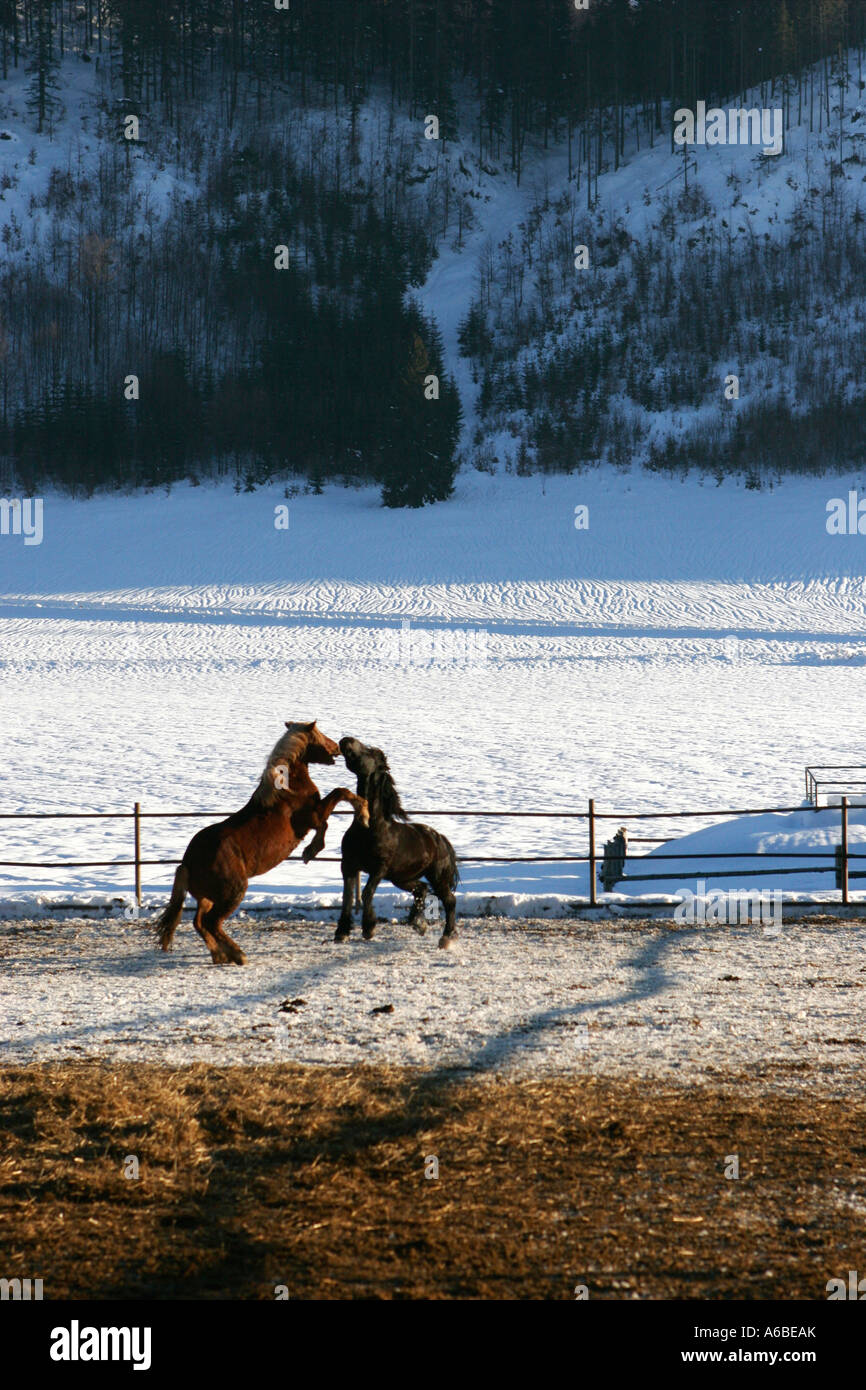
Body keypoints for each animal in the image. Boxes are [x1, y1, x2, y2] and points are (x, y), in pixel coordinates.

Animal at [154, 721, 368, 964]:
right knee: (211, 922)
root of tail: (187, 862)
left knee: (199, 922)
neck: (287, 789)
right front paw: (313, 849)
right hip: (233, 892)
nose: (337, 747)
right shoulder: (313, 816)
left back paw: (220, 955)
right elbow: (337, 798)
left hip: (208, 897)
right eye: (319, 734)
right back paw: (237, 954)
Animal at [334, 736, 459, 949]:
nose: (346, 740)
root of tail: (440, 839)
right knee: (421, 889)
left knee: (449, 900)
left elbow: (366, 893)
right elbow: (347, 897)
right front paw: (342, 932)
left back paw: (446, 937)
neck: (369, 829)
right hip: (400, 877)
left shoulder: (379, 869)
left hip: (436, 878)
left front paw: (369, 928)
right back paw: (418, 924)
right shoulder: (348, 866)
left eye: (369, 752)